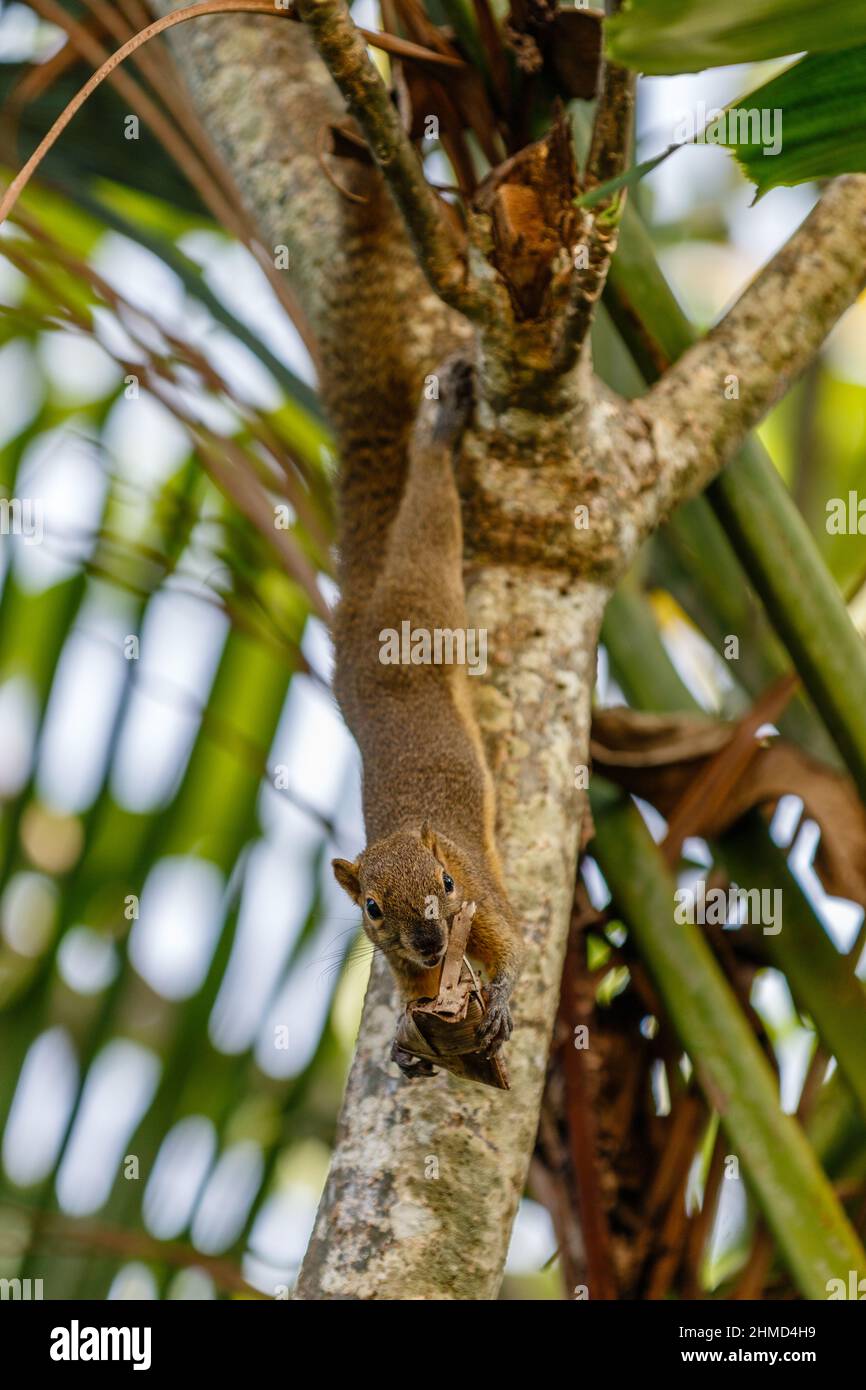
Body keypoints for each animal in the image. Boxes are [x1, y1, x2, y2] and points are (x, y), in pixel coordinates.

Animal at [330, 358, 524, 1079]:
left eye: (445, 881)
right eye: (372, 908)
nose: (431, 937)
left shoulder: (482, 899)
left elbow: (516, 950)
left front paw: (501, 1004)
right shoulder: (406, 966)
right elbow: (414, 995)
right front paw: (399, 1046)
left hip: (430, 600)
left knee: (431, 519)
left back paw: (439, 430)